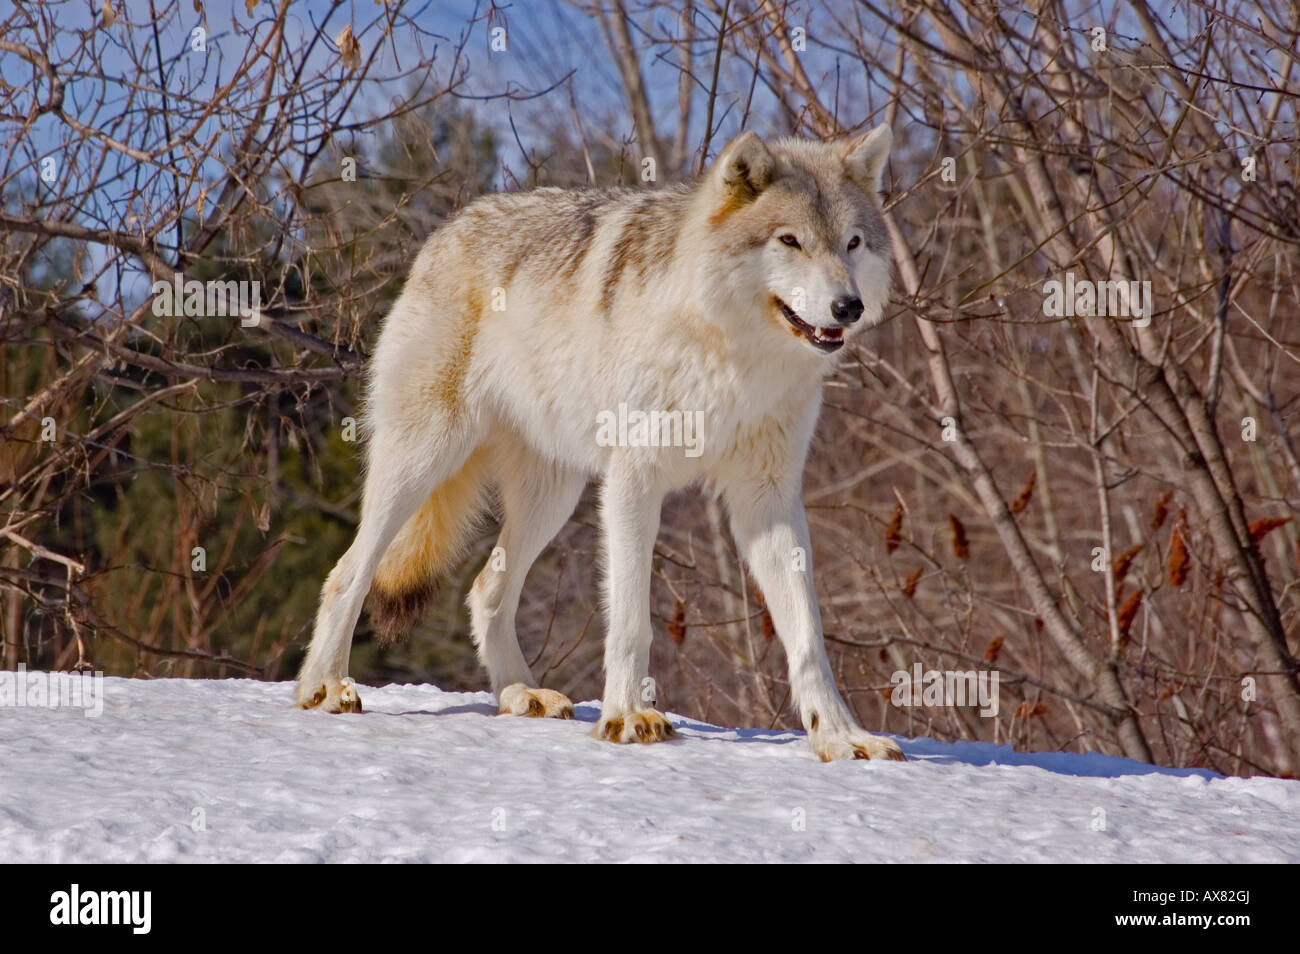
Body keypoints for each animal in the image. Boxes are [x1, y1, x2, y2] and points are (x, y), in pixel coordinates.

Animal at [296, 126, 906, 761]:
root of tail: (448, 228)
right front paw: (630, 716)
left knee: (486, 589)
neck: (734, 354)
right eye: (790, 241)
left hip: (552, 498)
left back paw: (519, 693)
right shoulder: (633, 481)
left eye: (853, 243)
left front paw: (840, 735)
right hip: (423, 460)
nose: (848, 306)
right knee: (349, 571)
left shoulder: (770, 498)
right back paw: (325, 685)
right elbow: (632, 618)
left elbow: (808, 635)